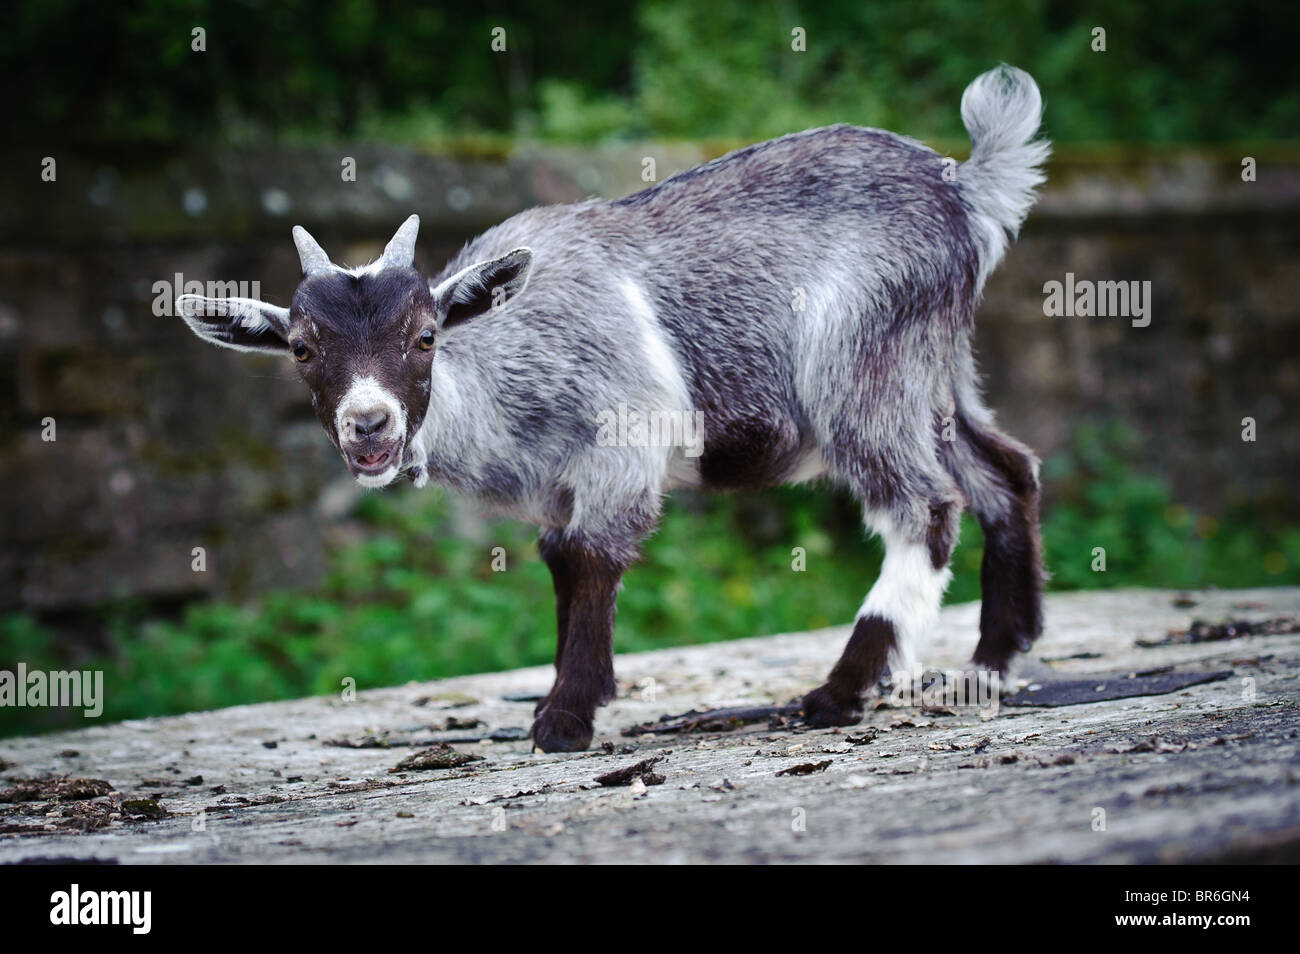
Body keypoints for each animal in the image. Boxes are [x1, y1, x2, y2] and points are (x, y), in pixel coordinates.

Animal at [177, 65, 1049, 752]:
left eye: (424, 335)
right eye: (300, 347)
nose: (369, 424)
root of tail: (963, 186)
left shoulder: (622, 439)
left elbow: (590, 556)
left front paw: (563, 721)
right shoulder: (564, 484)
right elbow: (561, 563)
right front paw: (563, 702)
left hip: (864, 367)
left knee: (925, 504)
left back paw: (839, 694)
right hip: (937, 373)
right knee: (1006, 470)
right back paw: (990, 665)